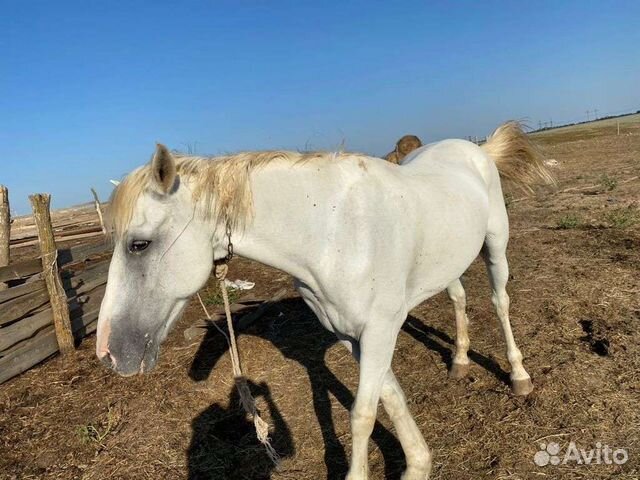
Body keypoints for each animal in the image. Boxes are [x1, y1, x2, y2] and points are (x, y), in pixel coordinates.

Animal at [96, 121, 554, 480]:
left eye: (139, 244)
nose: (110, 352)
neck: (333, 232)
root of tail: (476, 149)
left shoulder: (379, 330)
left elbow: (363, 414)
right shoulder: (355, 335)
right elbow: (389, 397)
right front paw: (418, 464)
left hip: (495, 247)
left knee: (499, 302)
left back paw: (518, 375)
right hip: (449, 263)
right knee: (458, 299)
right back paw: (458, 360)